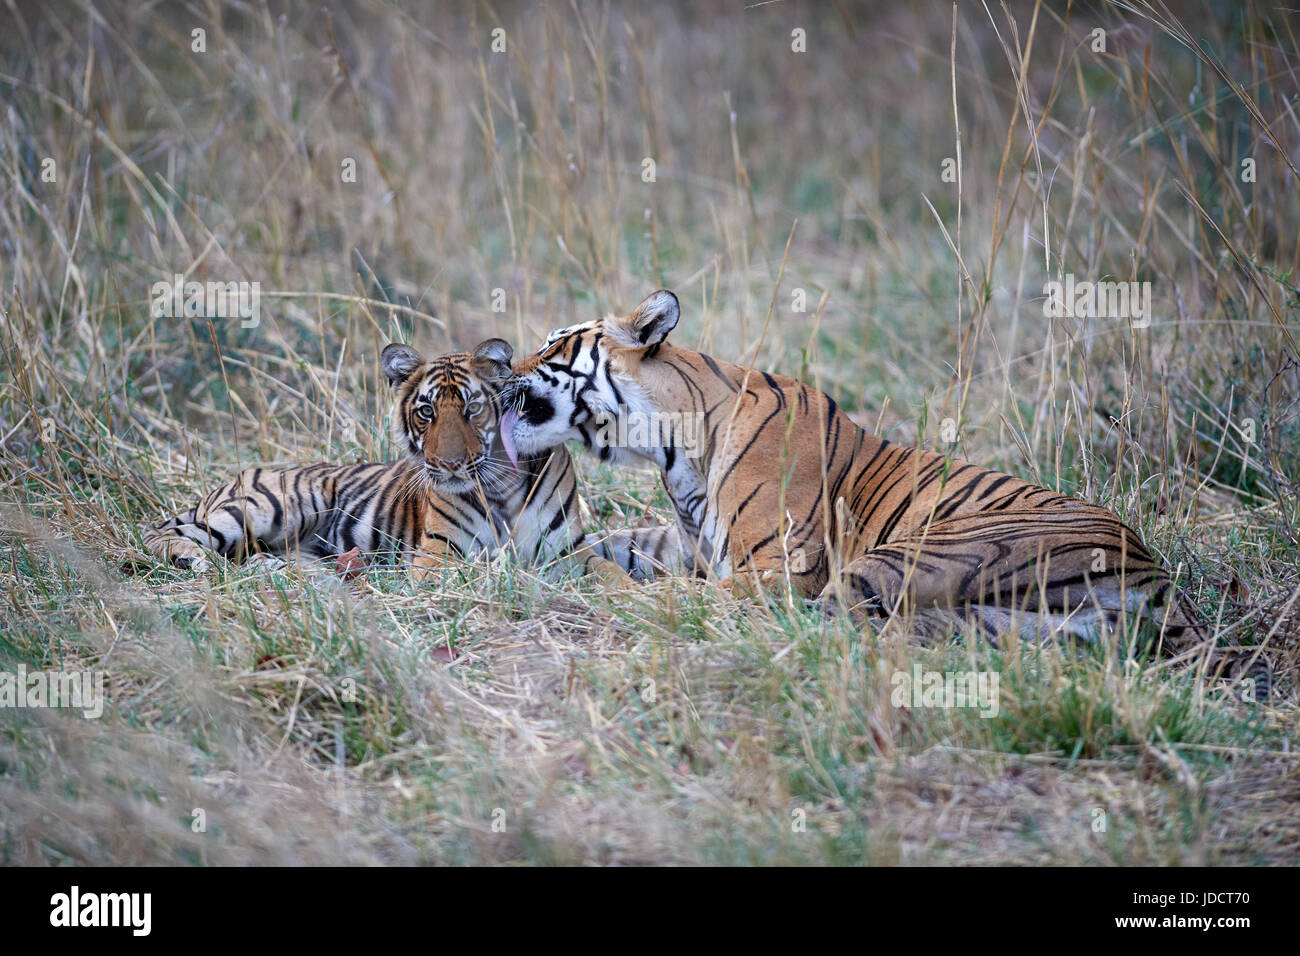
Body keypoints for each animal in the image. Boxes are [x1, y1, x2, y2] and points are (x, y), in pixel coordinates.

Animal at [142, 338, 637, 585]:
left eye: (473, 408)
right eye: (426, 412)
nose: (451, 465)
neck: (501, 489)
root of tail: (242, 473)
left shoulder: (568, 550)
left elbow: (610, 571)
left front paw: (634, 595)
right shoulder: (439, 556)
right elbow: (483, 570)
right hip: (266, 507)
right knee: (165, 537)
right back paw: (196, 561)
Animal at [504, 289, 1239, 668]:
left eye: (552, 345)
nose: (502, 366)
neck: (668, 448)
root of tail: (1159, 578)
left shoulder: (773, 565)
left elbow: (665, 584)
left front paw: (578, 581)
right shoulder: (691, 541)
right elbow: (615, 541)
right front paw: (534, 559)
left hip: (917, 551)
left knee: (821, 622)